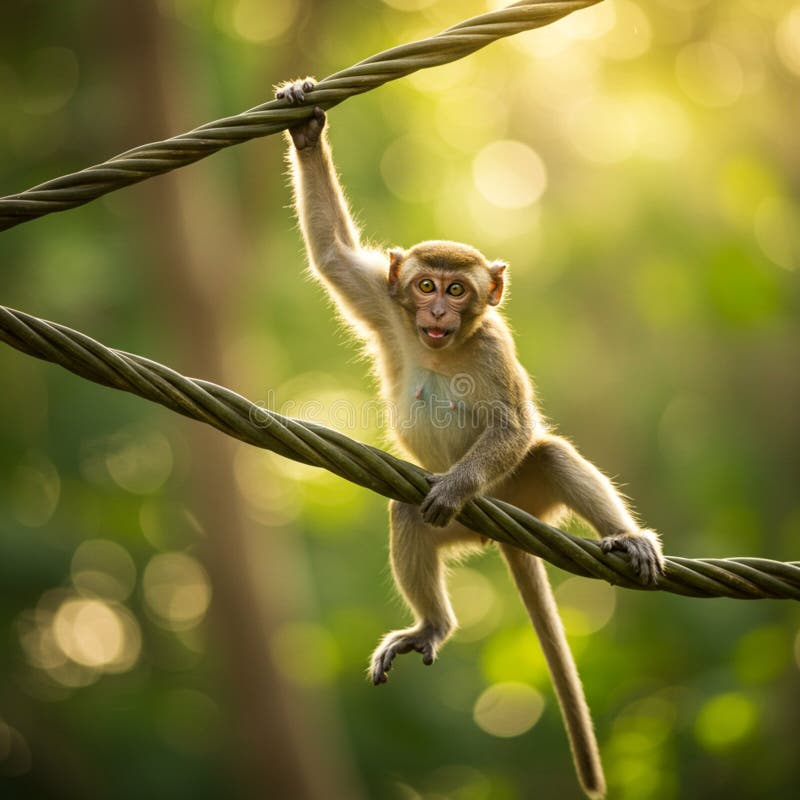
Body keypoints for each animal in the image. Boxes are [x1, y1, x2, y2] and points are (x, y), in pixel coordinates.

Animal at [276, 78, 664, 800]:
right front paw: (306, 126)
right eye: (426, 284)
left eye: (459, 290)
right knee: (407, 512)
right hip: (466, 530)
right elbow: (332, 255)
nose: (435, 312)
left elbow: (513, 426)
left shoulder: (493, 345)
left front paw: (455, 480)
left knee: (548, 455)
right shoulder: (387, 304)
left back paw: (625, 538)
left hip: (515, 492)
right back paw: (432, 625)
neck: (446, 346)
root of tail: (502, 528)